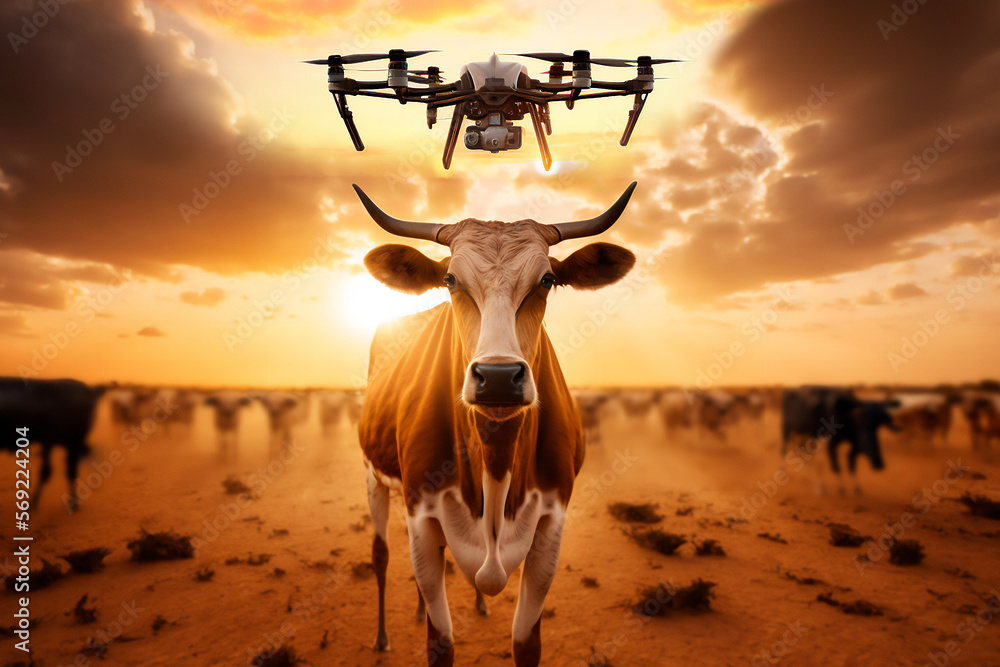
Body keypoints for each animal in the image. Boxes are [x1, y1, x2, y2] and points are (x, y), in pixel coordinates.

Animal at [355, 182, 637, 666]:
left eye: (547, 280)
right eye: (450, 280)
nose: (500, 377)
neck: (496, 462)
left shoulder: (552, 524)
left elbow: (526, 643)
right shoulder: (420, 514)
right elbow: (440, 644)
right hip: (374, 479)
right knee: (381, 553)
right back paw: (381, 636)